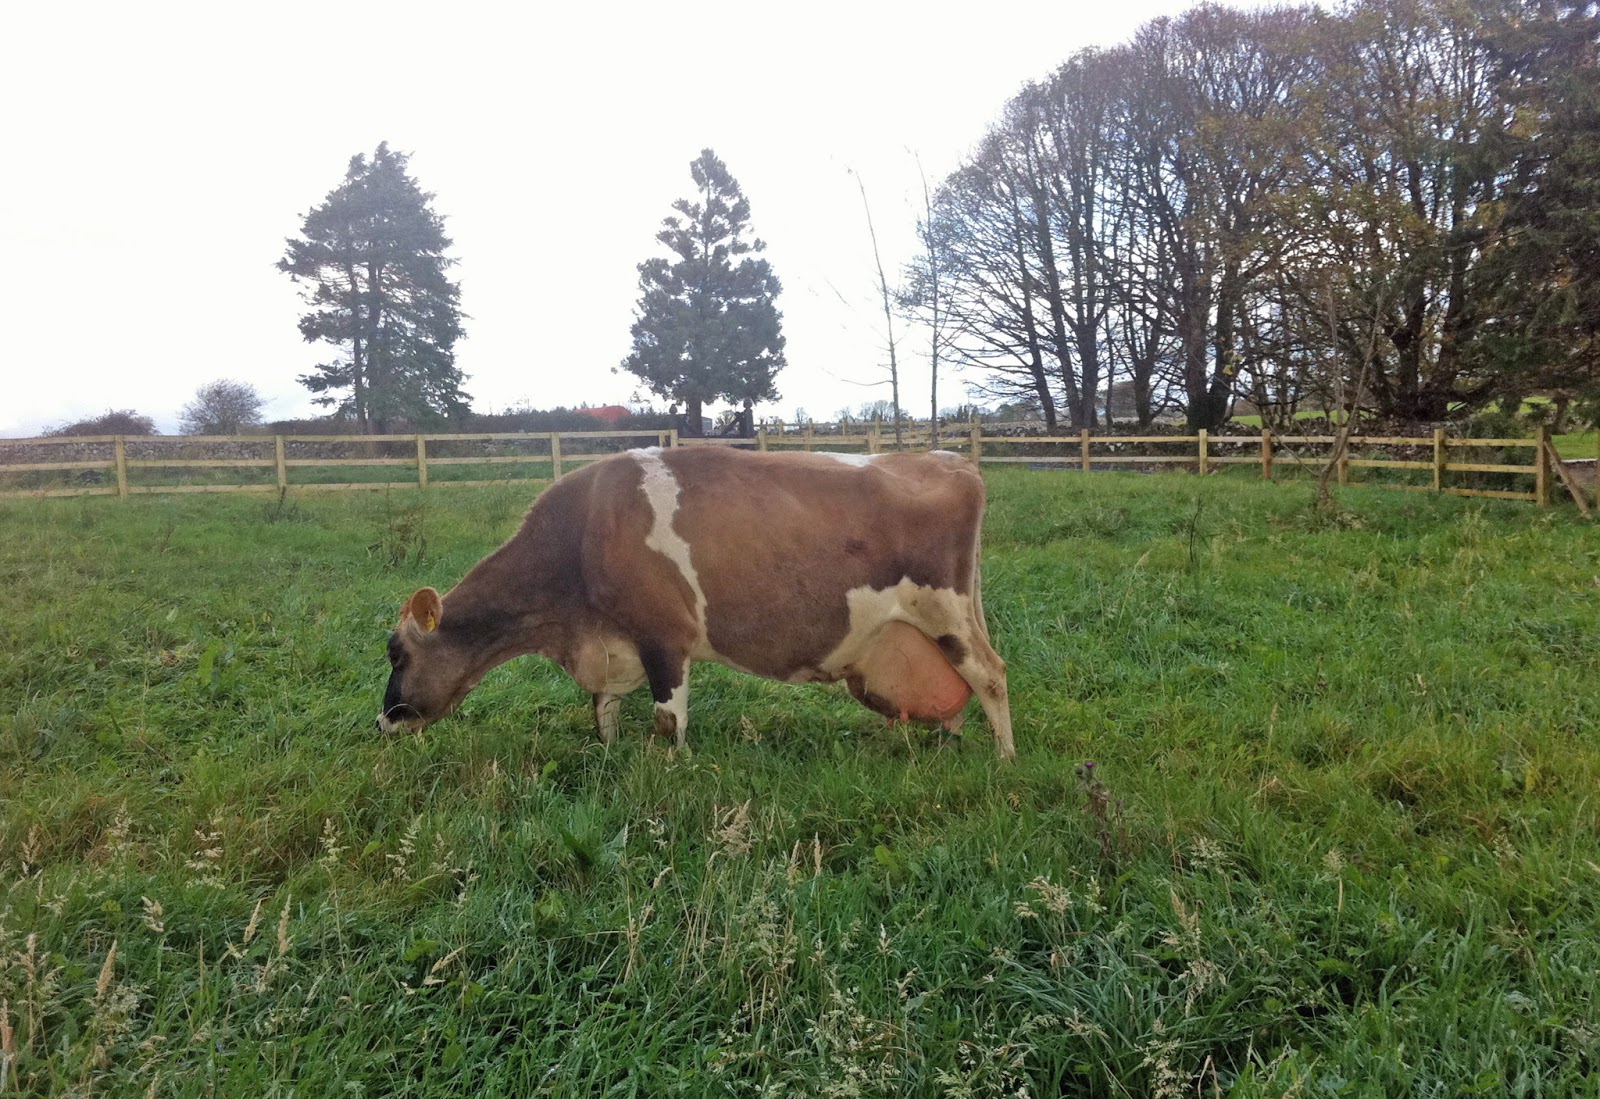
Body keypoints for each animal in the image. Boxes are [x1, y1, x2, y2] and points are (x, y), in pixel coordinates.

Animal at [377, 445, 1015, 758]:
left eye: (395, 653)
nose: (383, 721)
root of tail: (950, 460)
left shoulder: (665, 636)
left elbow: (668, 720)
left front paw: (674, 773)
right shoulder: (612, 648)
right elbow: (602, 713)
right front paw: (610, 761)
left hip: (946, 609)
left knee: (990, 674)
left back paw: (1005, 759)